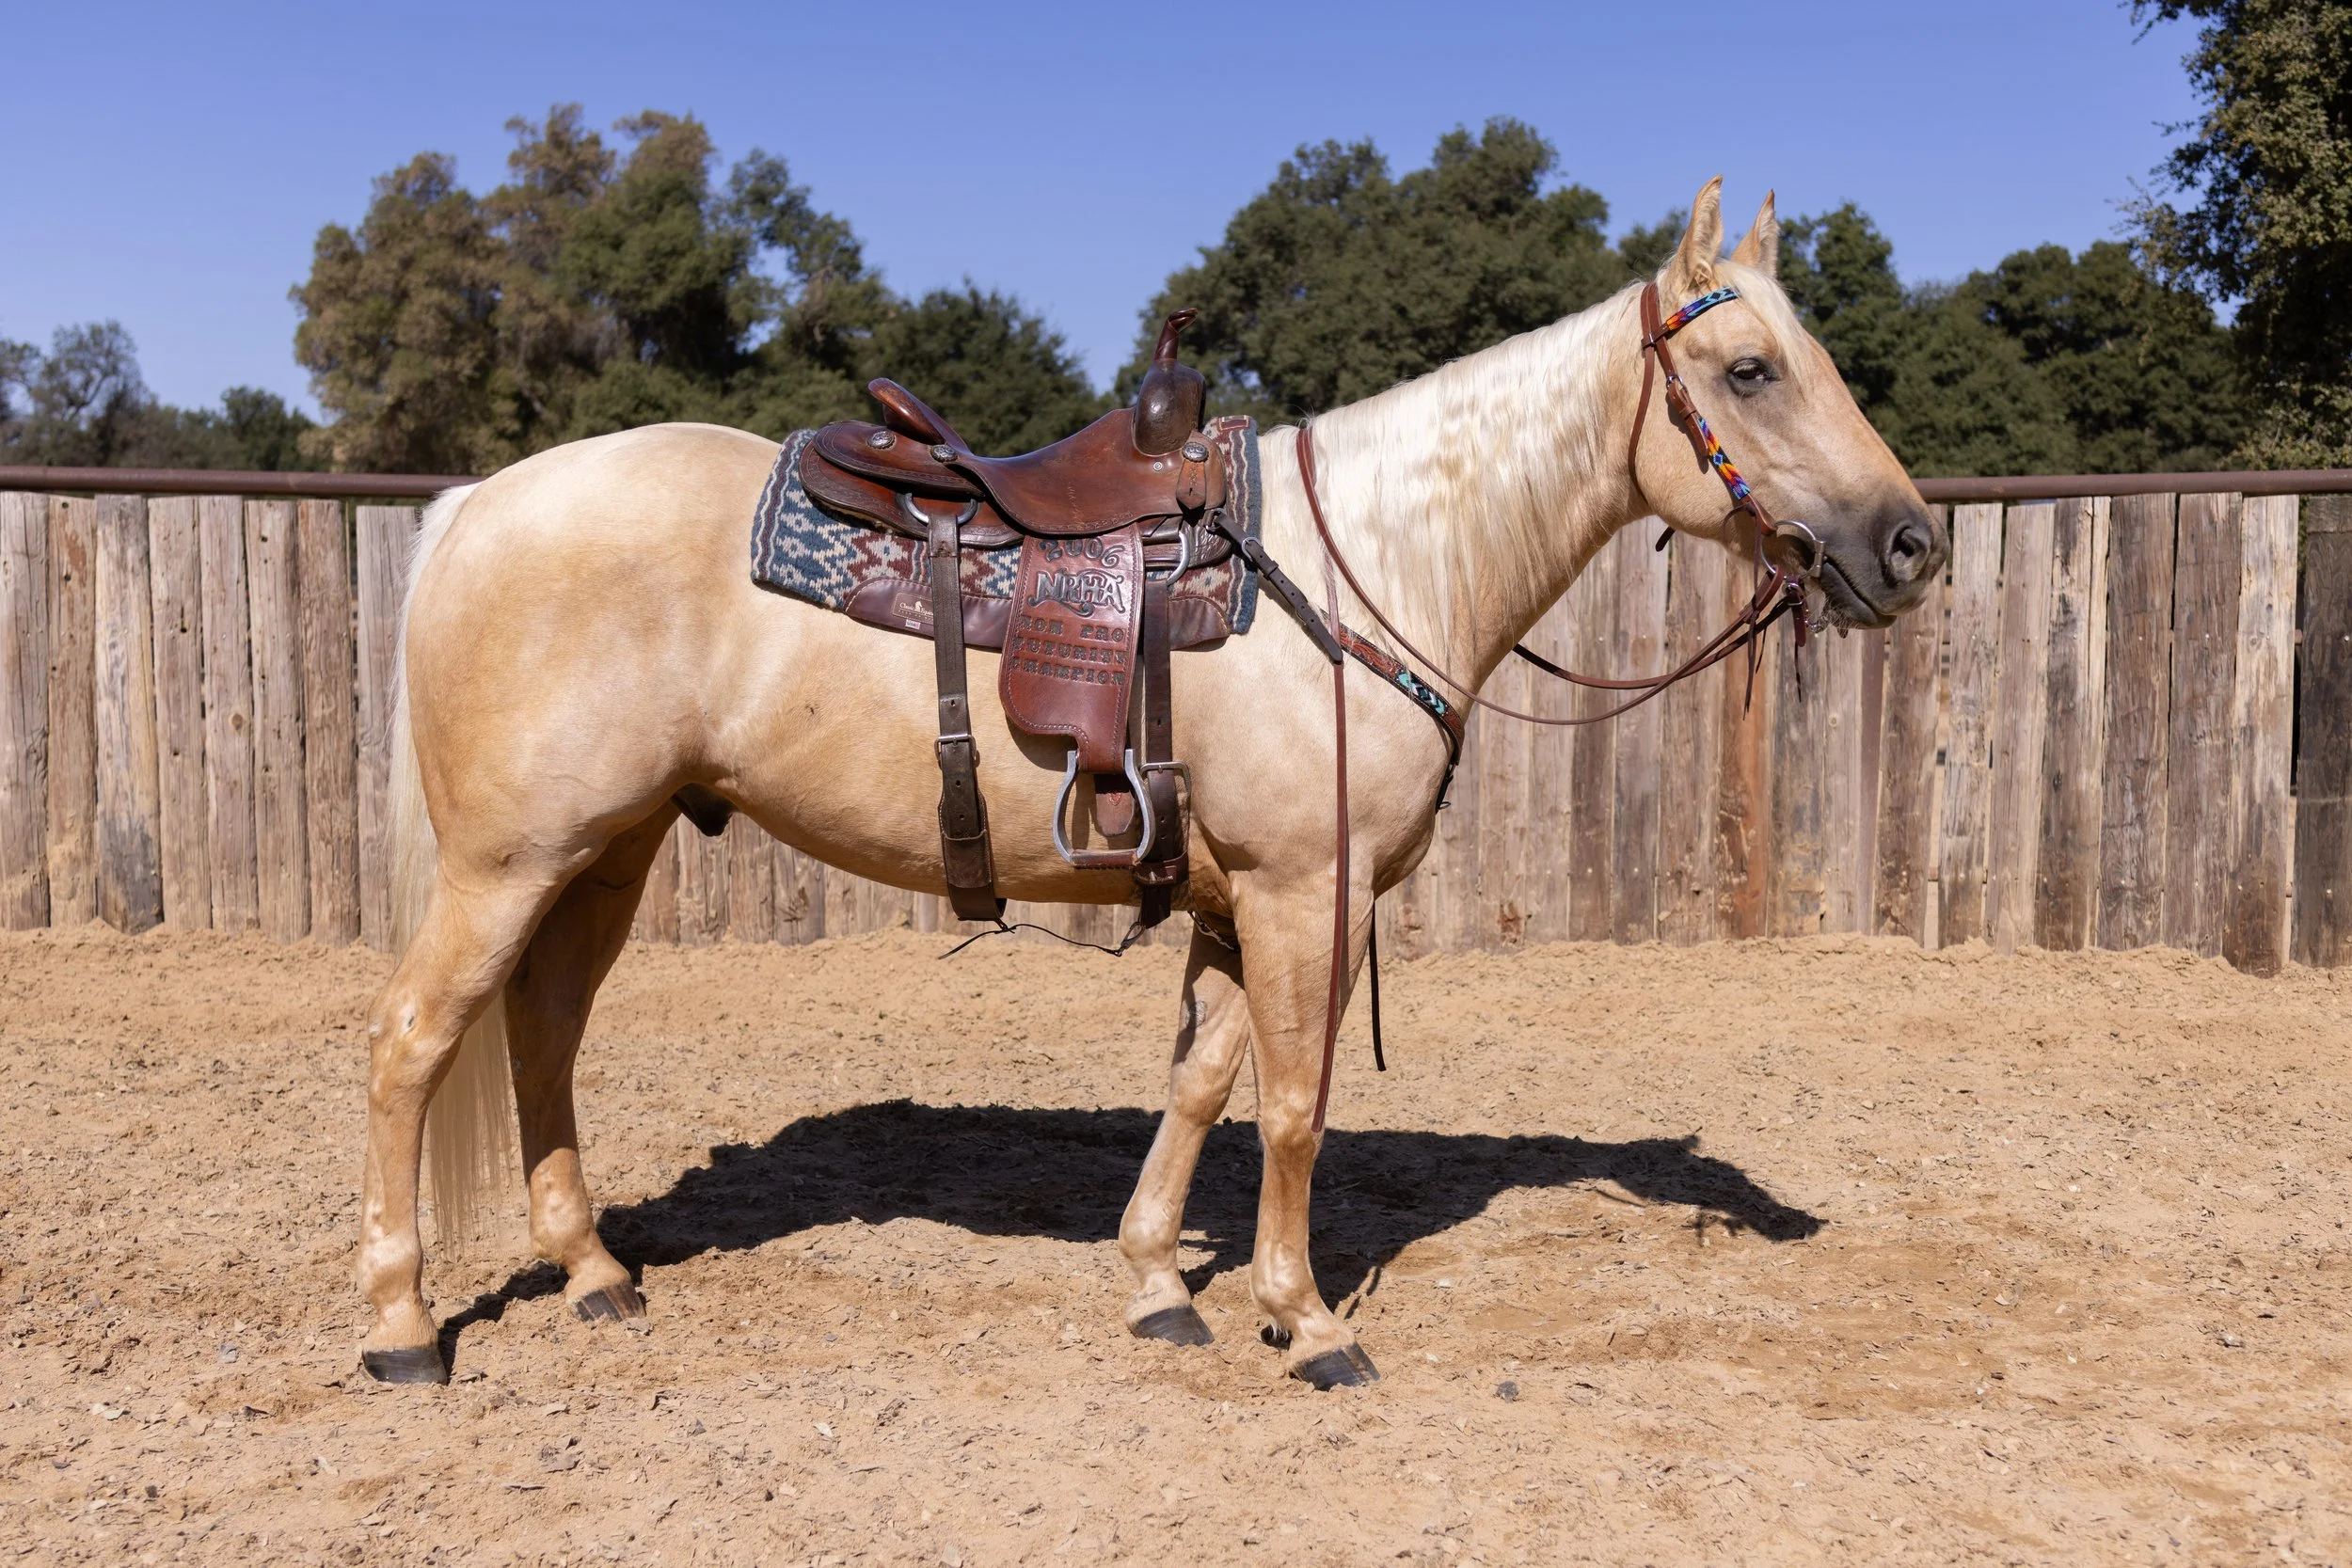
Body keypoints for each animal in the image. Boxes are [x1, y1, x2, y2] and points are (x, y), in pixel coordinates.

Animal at [357, 181, 1946, 1388]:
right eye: (1750, 371)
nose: (1913, 544)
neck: (1371, 563)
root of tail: (479, 501)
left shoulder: (1241, 898)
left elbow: (1201, 1078)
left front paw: (1160, 1284)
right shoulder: (1312, 892)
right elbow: (1294, 1106)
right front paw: (1306, 1319)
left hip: (606, 850)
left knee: (542, 1033)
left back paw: (593, 1270)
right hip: (510, 860)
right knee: (416, 1044)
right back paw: (403, 1324)